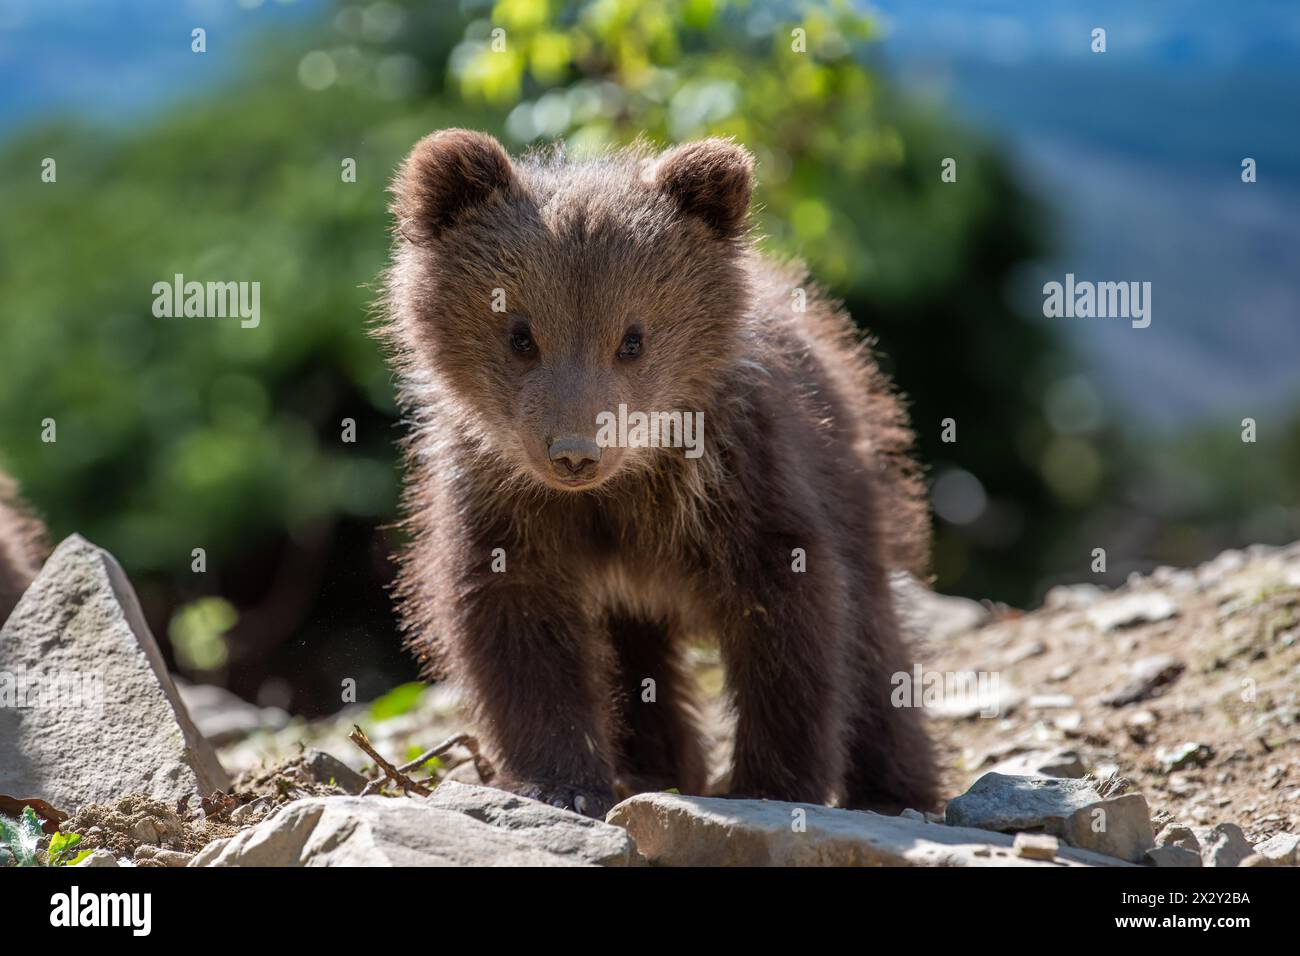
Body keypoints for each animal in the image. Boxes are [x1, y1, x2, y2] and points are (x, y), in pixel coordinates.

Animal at [378, 129, 938, 818]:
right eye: (520, 334)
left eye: (632, 338)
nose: (574, 453)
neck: (621, 490)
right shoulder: (501, 497)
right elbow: (515, 621)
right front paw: (559, 780)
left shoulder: (740, 477)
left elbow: (790, 617)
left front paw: (772, 782)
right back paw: (659, 765)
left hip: (850, 481)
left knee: (874, 634)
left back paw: (893, 786)